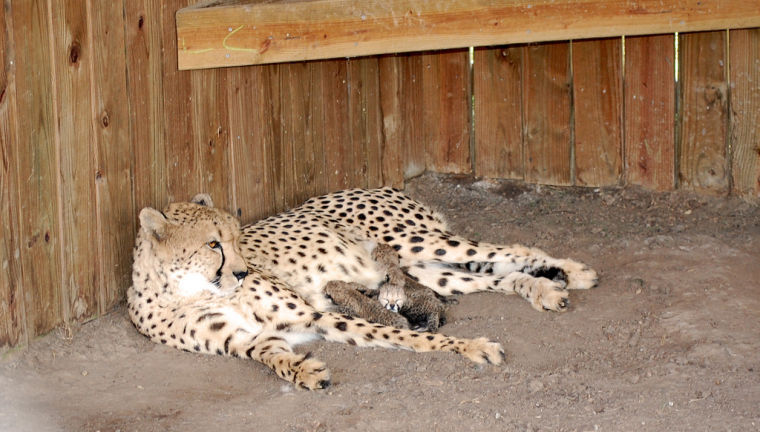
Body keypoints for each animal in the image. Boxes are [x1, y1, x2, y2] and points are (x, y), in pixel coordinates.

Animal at [127, 193, 505, 390]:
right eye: (212, 244)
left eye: (236, 239)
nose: (242, 271)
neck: (192, 290)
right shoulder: (245, 340)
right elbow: (271, 355)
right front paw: (303, 370)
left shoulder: (313, 314)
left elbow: (403, 336)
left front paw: (472, 346)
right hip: (427, 266)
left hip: (419, 242)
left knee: (509, 254)